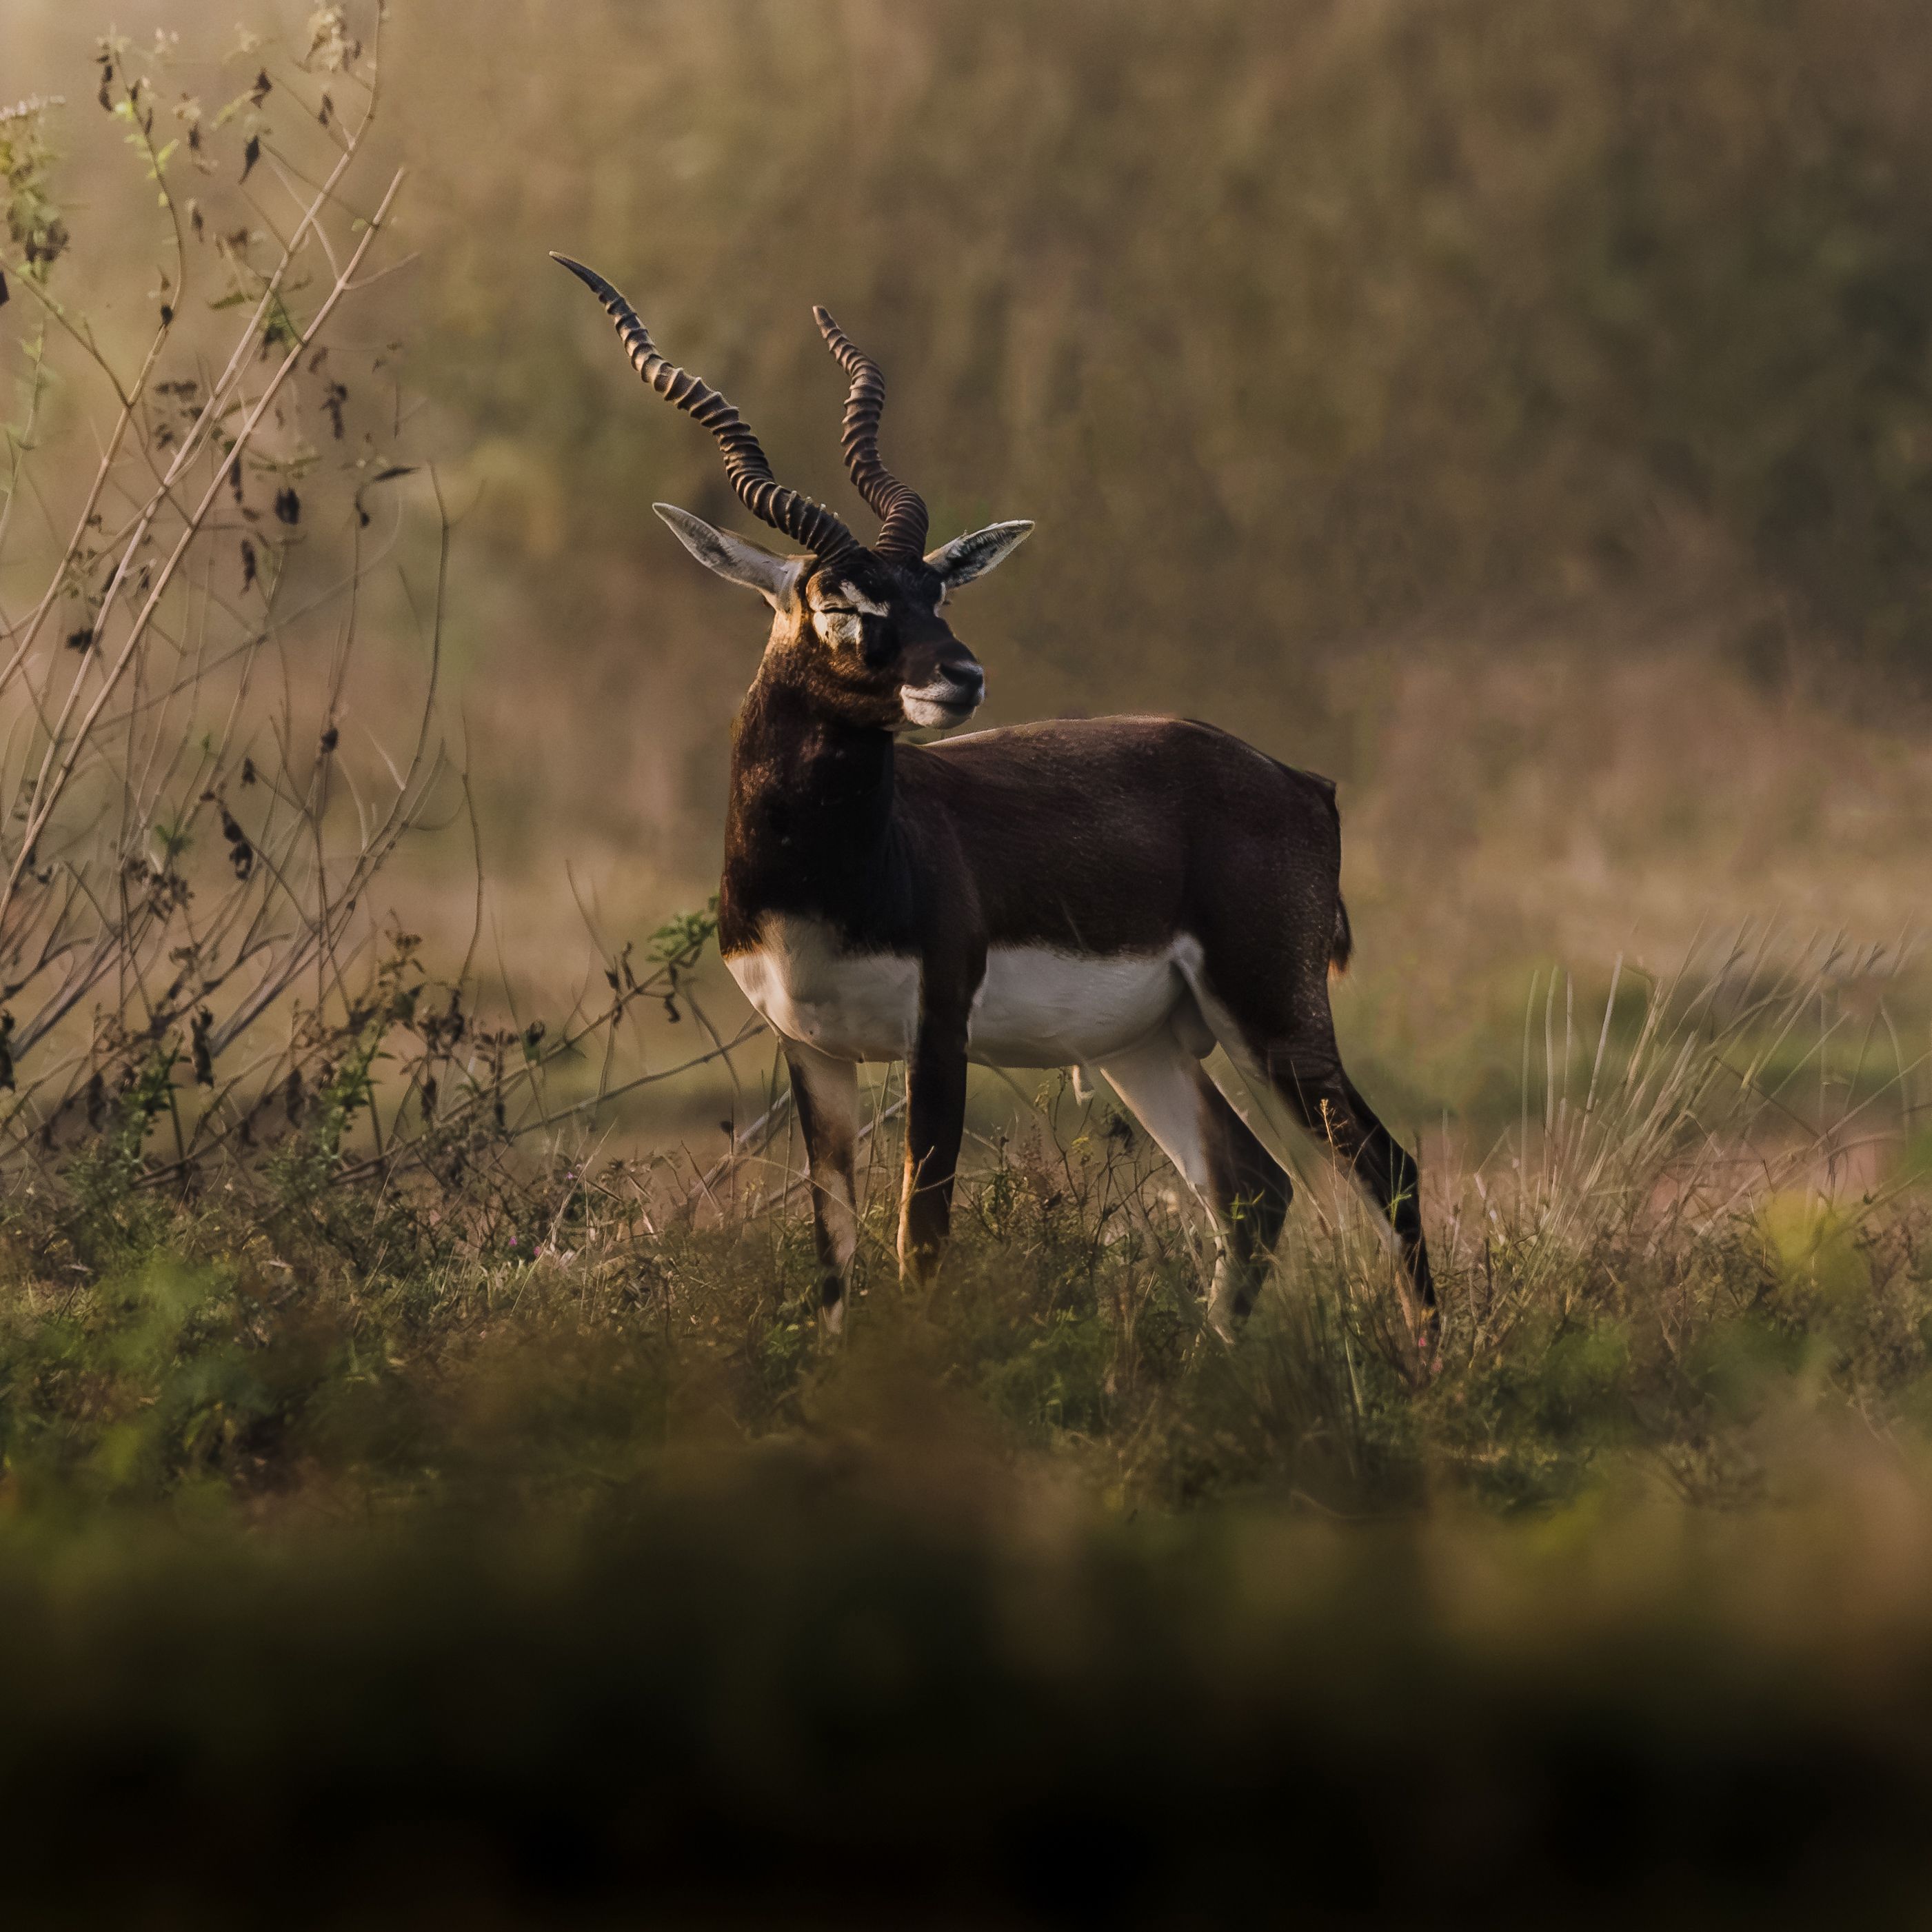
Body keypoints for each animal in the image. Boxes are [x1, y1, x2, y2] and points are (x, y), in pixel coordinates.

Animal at [555, 255, 1435, 1344]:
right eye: (837, 599)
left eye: (936, 590)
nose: (962, 675)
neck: (829, 875)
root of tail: (1298, 782)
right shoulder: (811, 1052)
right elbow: (835, 1256)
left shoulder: (940, 1032)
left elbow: (918, 1245)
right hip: (1147, 1044)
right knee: (1252, 1190)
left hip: (1272, 1013)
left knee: (1387, 1172)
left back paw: (1428, 1365)